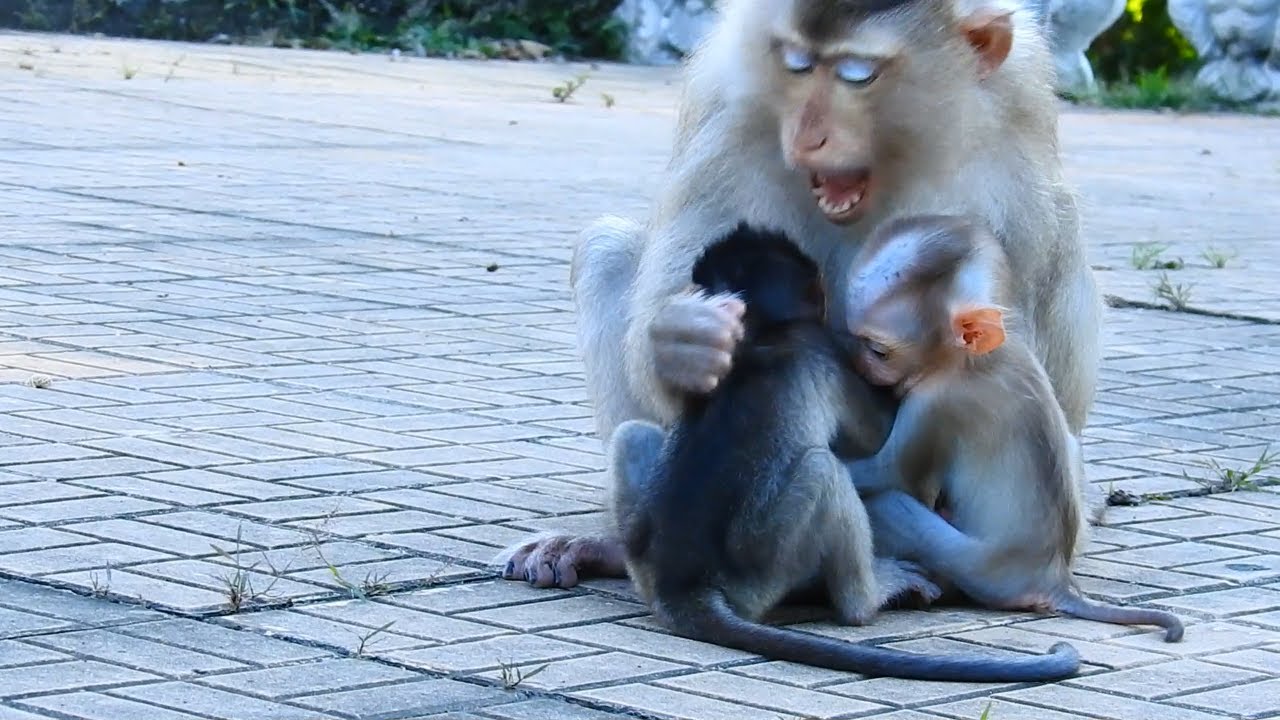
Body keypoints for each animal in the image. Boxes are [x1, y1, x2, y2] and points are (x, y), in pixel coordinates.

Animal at [497, 0, 1104, 590]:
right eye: (798, 66)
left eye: (858, 76)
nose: (808, 136)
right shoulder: (726, 111)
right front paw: (685, 343)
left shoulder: (1014, 159)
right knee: (606, 251)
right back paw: (612, 544)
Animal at [605, 221, 1082, 682]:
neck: (759, 334)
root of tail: (682, 582)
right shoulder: (824, 351)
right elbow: (884, 459)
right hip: (763, 568)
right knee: (824, 470)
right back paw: (869, 599)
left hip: (651, 554)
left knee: (632, 435)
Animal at [838, 214, 1184, 643]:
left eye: (878, 351)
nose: (858, 363)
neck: (974, 359)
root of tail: (1053, 578)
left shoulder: (938, 402)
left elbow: (890, 474)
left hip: (978, 564)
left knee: (890, 503)